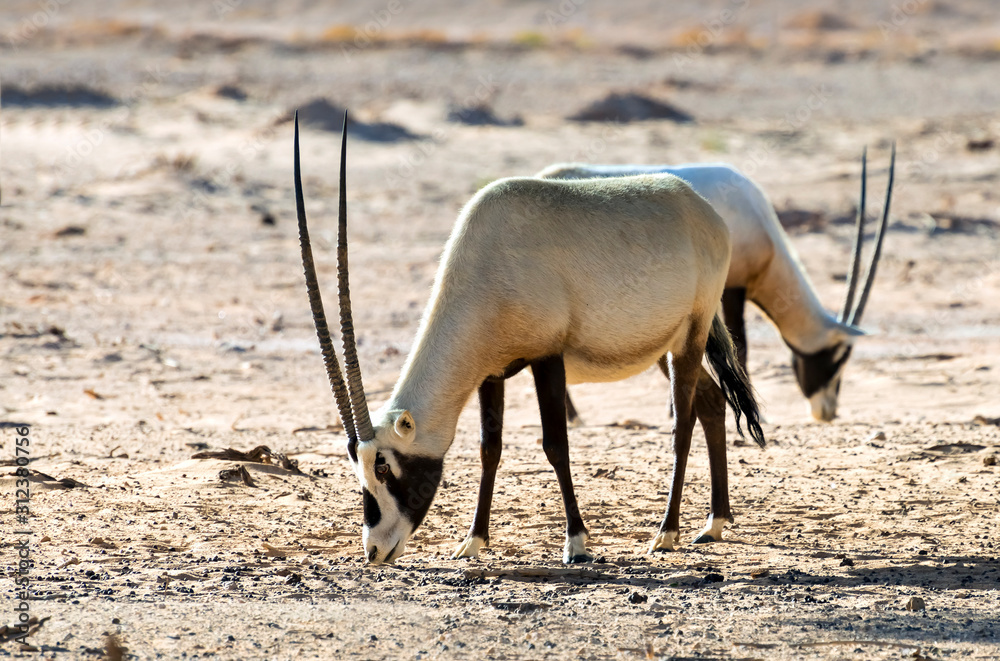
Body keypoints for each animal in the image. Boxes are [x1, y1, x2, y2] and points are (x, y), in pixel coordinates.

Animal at [294, 113, 764, 566]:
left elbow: (556, 444)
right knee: (711, 402)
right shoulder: (491, 372)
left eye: (385, 467)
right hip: (665, 348)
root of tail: (701, 209)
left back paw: (666, 533)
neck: (486, 263)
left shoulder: (547, 356)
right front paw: (473, 541)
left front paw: (577, 543)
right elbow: (490, 448)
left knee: (682, 422)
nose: (374, 551)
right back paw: (715, 523)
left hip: (691, 335)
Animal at [537, 149, 895, 423]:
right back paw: (574, 417)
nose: (828, 412)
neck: (759, 221)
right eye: (840, 357)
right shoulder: (733, 288)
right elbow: (741, 346)